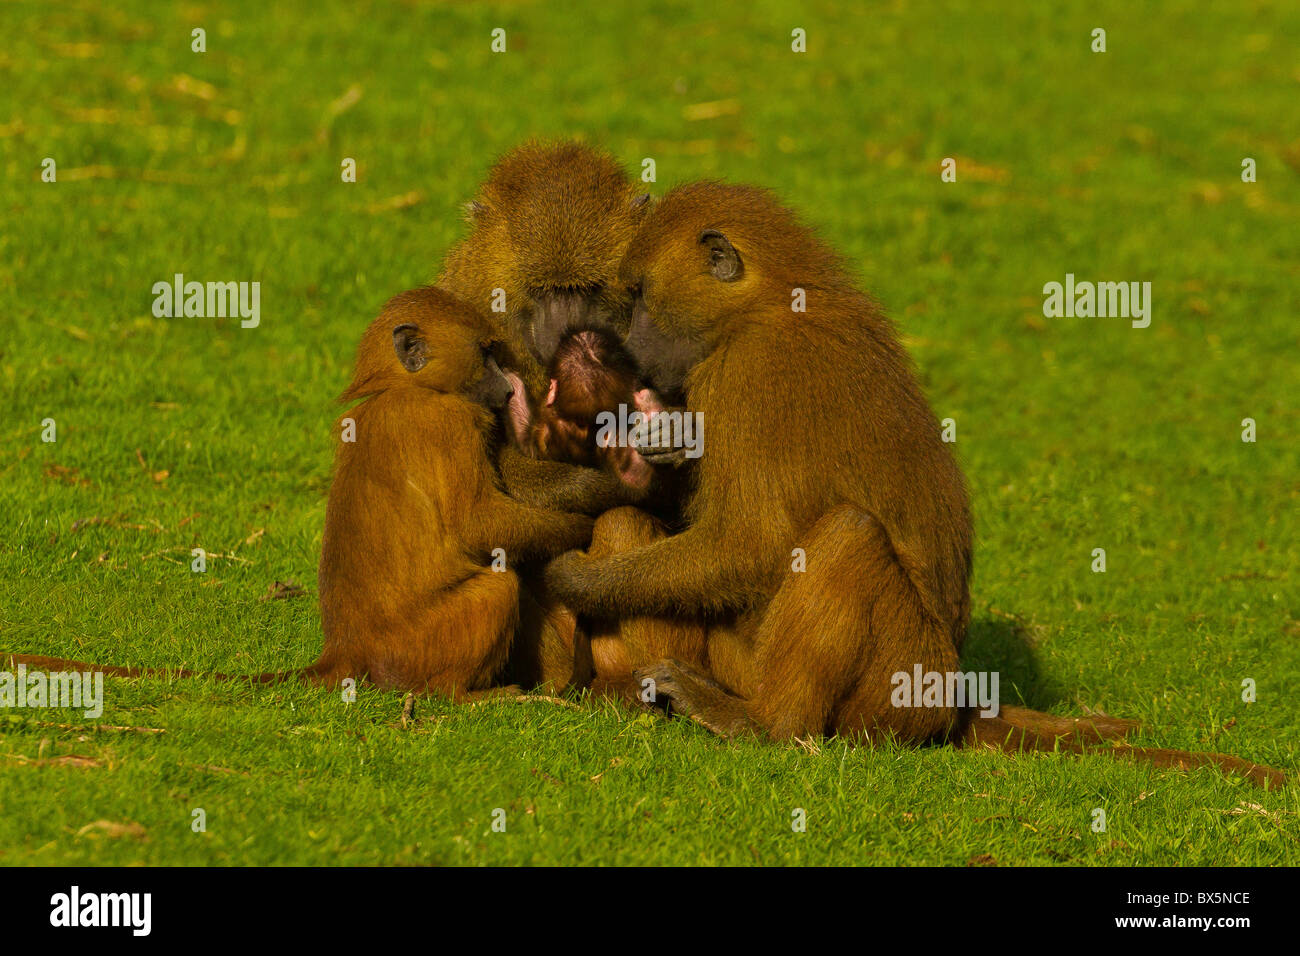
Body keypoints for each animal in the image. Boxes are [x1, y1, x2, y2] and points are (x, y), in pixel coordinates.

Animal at [4, 288, 594, 699]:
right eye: (486, 354)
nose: (506, 389)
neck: (403, 386)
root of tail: (347, 648)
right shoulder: (450, 420)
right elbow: (480, 526)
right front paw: (583, 527)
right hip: (416, 648)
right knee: (499, 586)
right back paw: (469, 696)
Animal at [542, 180, 1289, 788]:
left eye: (641, 297)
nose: (633, 353)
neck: (766, 306)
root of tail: (949, 698)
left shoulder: (746, 375)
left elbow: (750, 543)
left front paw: (569, 581)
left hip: (892, 687)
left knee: (850, 537)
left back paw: (762, 724)